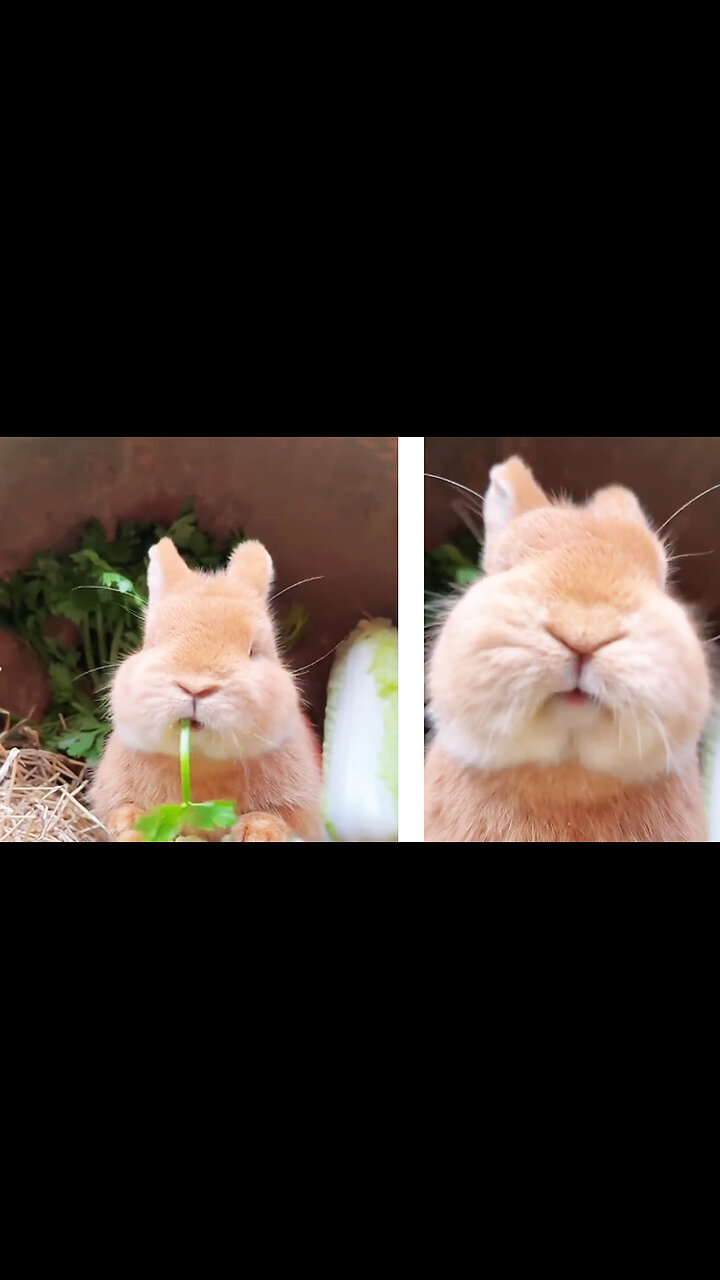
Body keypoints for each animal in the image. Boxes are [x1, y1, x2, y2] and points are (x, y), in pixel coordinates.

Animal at [91, 538, 322, 842]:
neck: (199, 763)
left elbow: (274, 820)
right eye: (154, 642)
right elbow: (123, 812)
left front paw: (252, 833)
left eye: (254, 650)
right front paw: (132, 830)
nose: (195, 687)